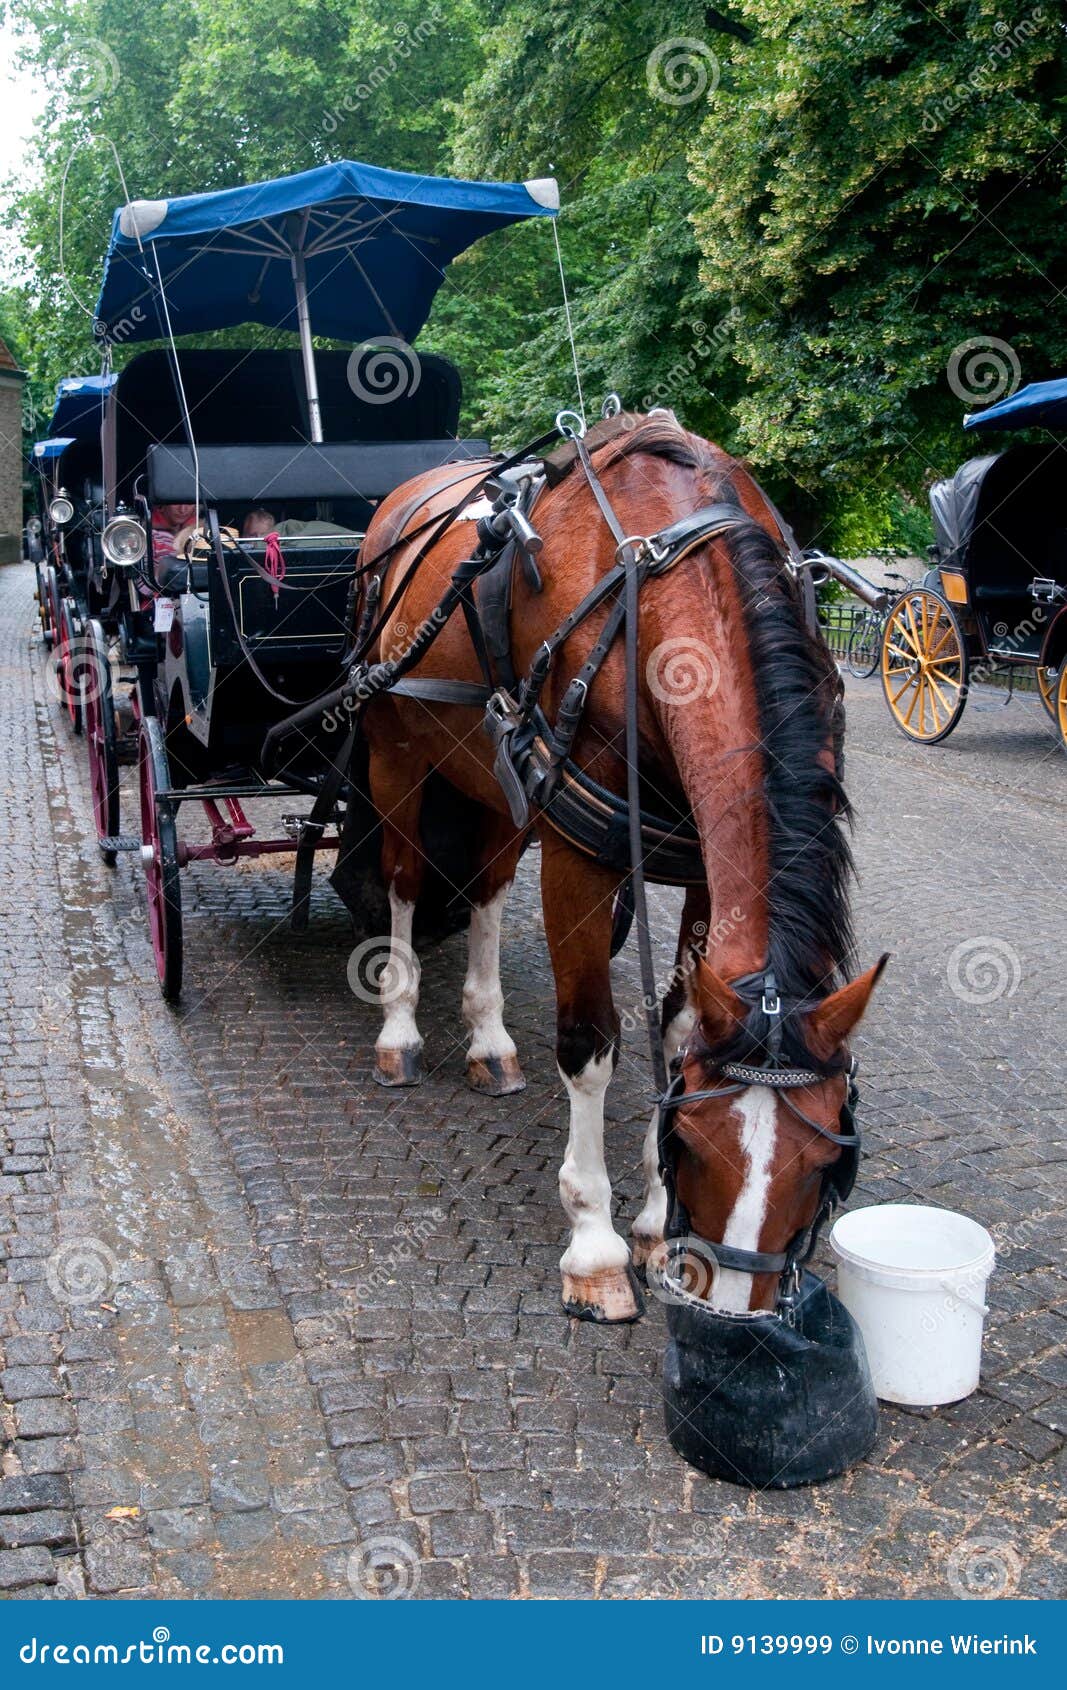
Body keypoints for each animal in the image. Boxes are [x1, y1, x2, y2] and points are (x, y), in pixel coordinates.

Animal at [354, 413, 885, 1324]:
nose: (729, 1306)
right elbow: (590, 1040)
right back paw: (399, 1031)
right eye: (698, 1144)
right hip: (397, 754)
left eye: (824, 1163)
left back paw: (489, 1041)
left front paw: (655, 1223)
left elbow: (675, 1028)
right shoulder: (579, 855)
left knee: (486, 892)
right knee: (403, 880)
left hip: (493, 775)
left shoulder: (702, 870)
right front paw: (595, 1248)